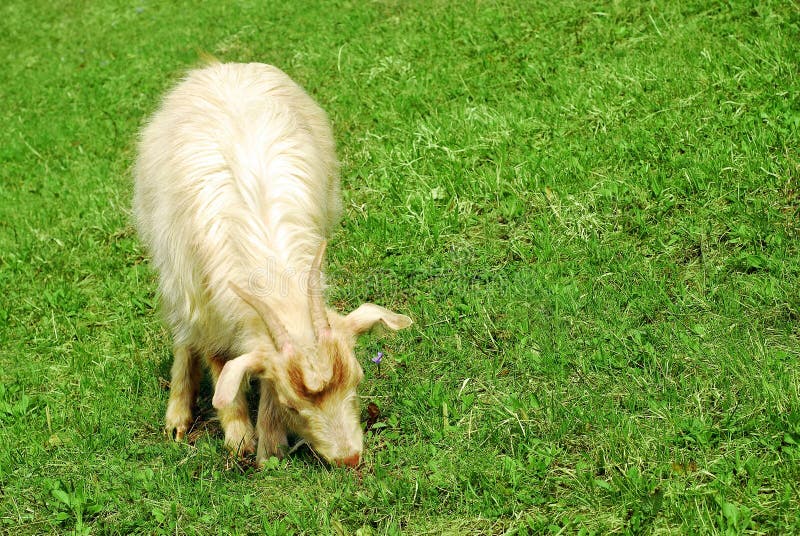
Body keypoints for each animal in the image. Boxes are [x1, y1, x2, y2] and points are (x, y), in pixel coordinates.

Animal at [133, 62, 412, 468]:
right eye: (293, 405)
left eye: (358, 379)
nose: (349, 459)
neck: (272, 273)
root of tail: (221, 67)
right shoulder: (206, 301)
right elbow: (217, 359)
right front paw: (238, 437)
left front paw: (269, 444)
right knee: (184, 337)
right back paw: (178, 416)